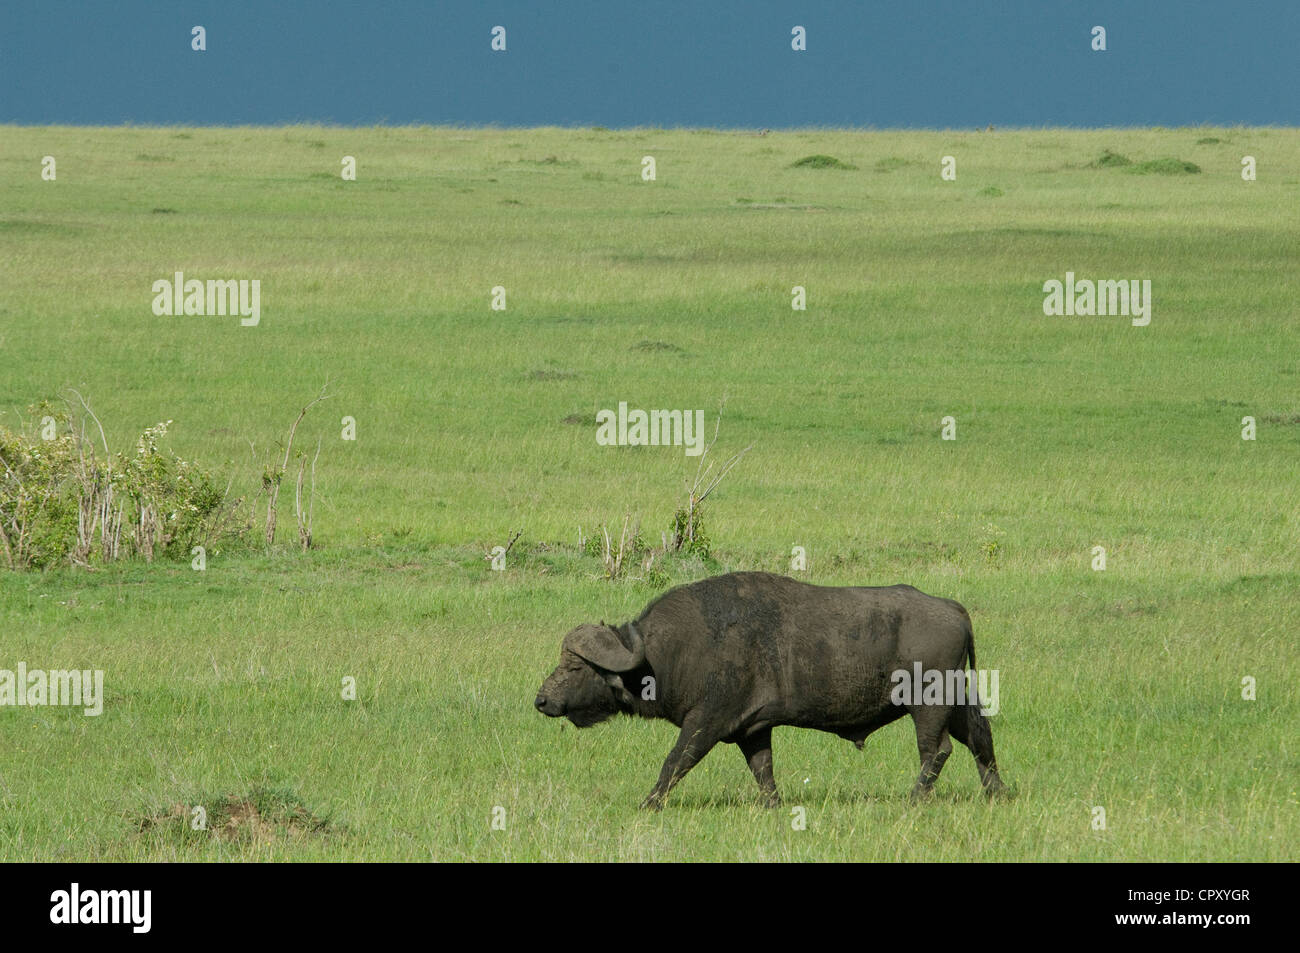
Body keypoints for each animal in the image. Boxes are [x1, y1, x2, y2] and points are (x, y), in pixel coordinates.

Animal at [534, 571, 1006, 809]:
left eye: (574, 665)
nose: (541, 699)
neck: (667, 651)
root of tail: (952, 609)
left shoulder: (706, 723)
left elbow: (675, 761)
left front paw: (649, 803)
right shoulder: (753, 730)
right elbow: (764, 771)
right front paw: (773, 806)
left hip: (928, 705)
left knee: (937, 750)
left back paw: (913, 799)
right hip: (957, 701)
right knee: (980, 739)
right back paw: (995, 793)